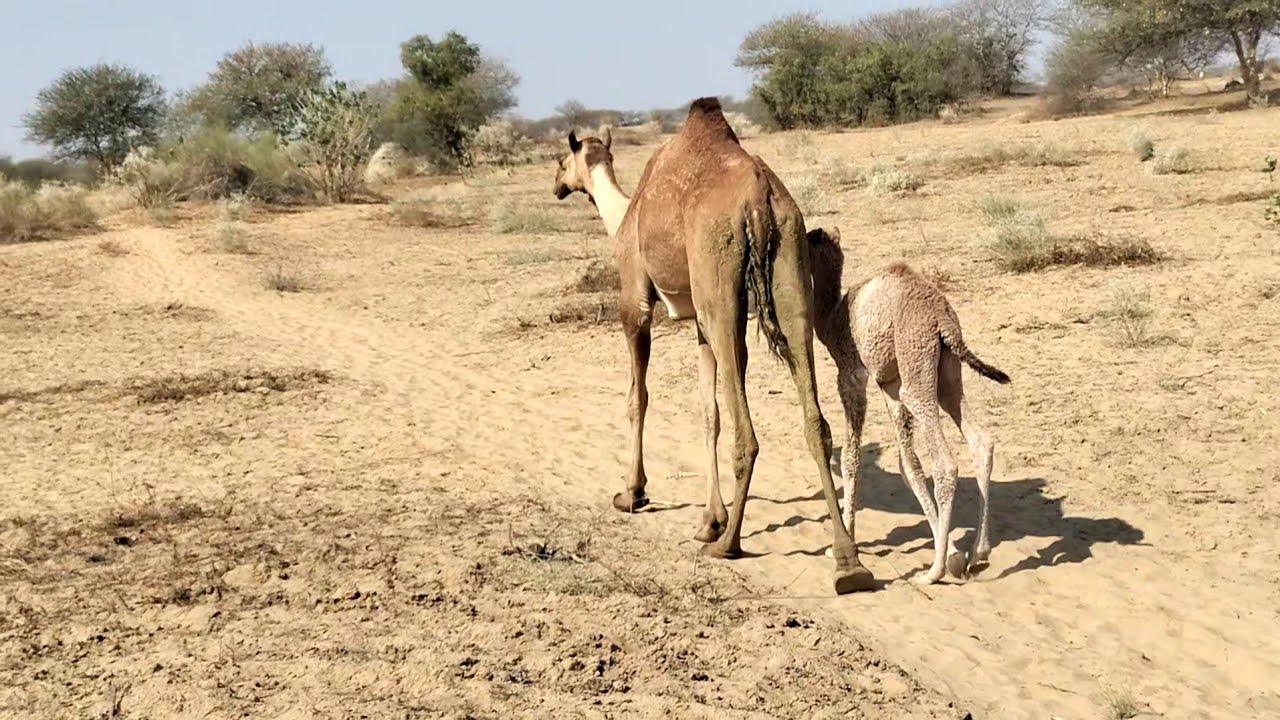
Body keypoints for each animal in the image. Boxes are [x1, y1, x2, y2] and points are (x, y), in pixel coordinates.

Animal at [553, 99, 875, 594]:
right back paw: (848, 562)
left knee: (748, 432)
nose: (557, 188)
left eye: (559, 160)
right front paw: (709, 519)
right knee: (814, 418)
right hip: (788, 269)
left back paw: (729, 545)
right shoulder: (698, 324)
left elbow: (637, 398)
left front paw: (633, 493)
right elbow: (709, 413)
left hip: (721, 283)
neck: (625, 212)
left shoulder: (635, 300)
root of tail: (760, 198)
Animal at [807, 227, 1010, 585]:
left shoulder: (852, 374)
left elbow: (851, 457)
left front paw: (844, 543)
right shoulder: (889, 384)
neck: (830, 320)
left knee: (946, 464)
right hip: (945, 375)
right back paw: (978, 554)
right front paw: (954, 551)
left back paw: (933, 572)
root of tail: (943, 323)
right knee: (981, 440)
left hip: (918, 374)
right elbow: (908, 465)